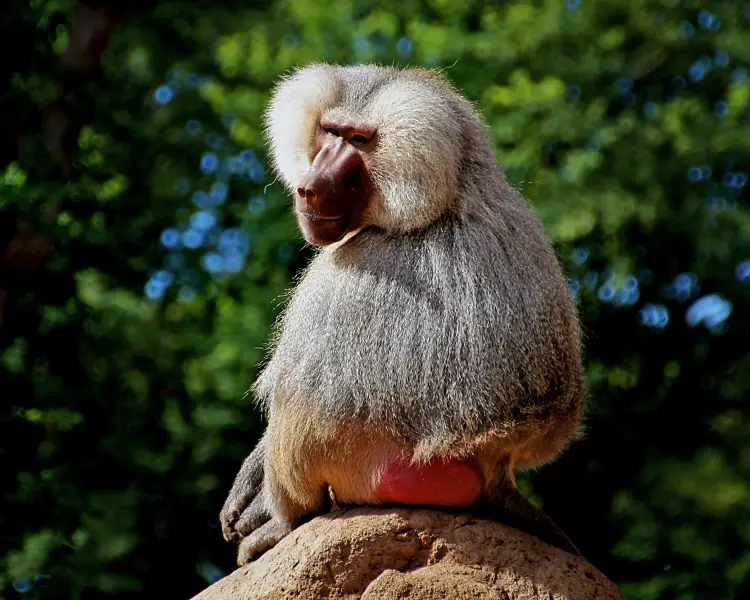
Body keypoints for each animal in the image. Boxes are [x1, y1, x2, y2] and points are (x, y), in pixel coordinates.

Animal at [219, 63, 586, 567]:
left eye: (359, 140)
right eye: (331, 131)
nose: (308, 189)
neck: (450, 193)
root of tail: (494, 464)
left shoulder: (358, 266)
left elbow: (308, 381)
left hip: (364, 460)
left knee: (303, 399)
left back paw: (282, 525)